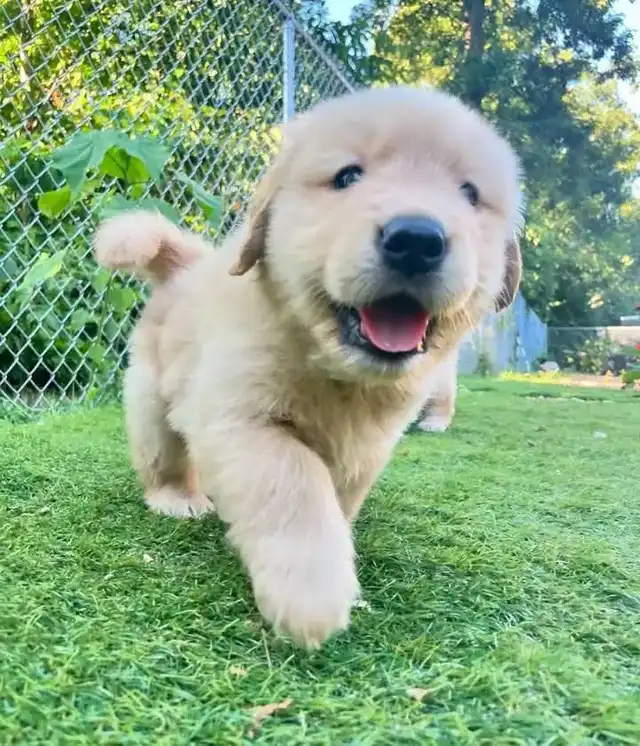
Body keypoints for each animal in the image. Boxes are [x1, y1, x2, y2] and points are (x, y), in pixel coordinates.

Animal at [94, 85, 523, 647]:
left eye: (470, 193)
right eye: (347, 176)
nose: (416, 239)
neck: (337, 370)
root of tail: (185, 266)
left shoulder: (369, 444)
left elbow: (339, 498)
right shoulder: (240, 416)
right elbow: (293, 483)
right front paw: (311, 595)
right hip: (150, 398)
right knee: (162, 454)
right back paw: (177, 498)